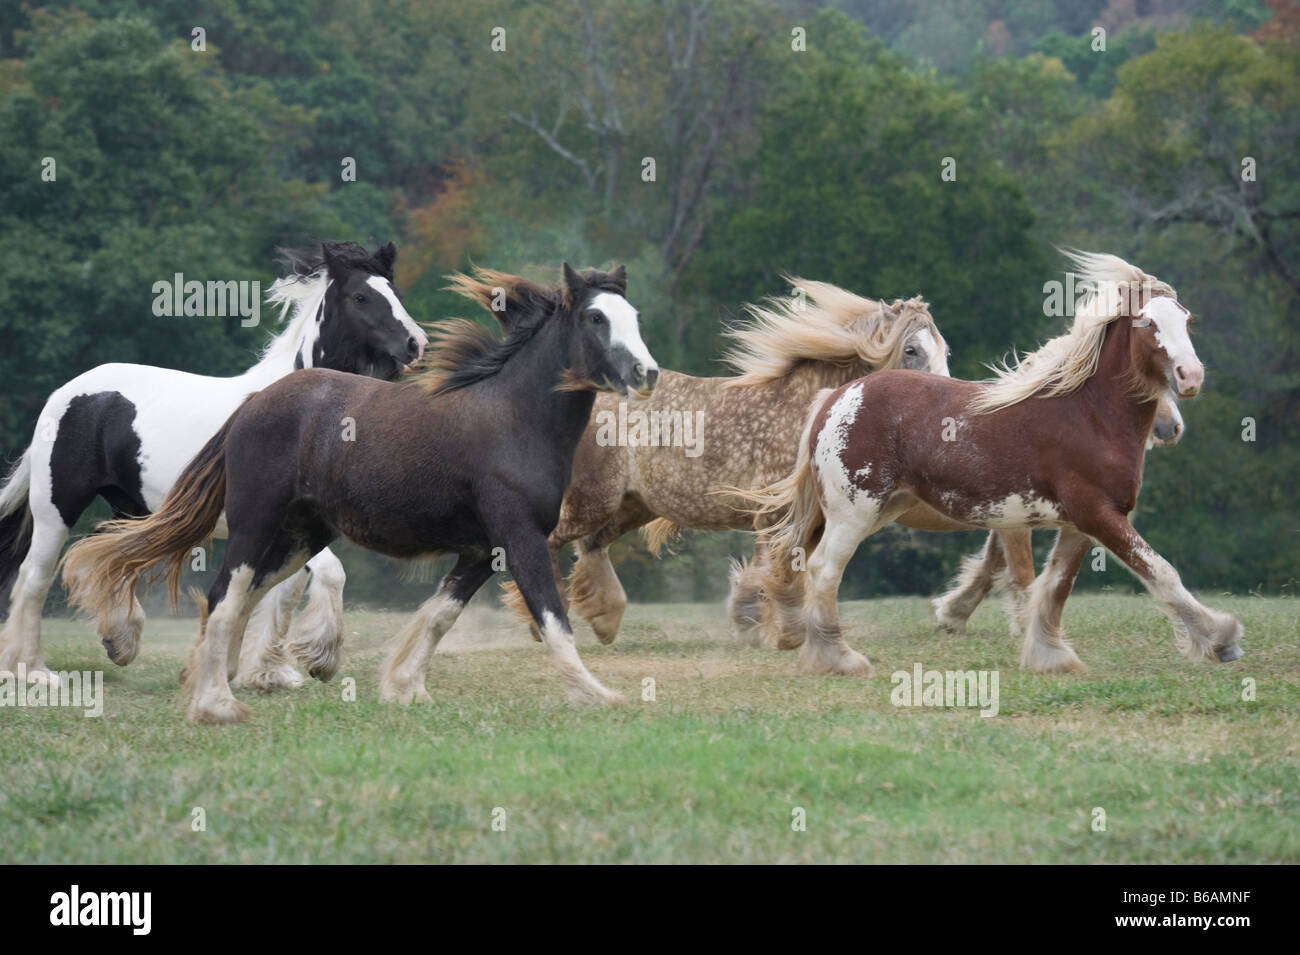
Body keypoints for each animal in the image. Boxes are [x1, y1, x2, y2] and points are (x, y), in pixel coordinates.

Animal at [0, 241, 425, 690]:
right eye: (361, 297)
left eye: (395, 292)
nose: (417, 344)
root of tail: (66, 392)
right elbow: (327, 574)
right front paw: (320, 657)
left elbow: (286, 590)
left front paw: (269, 671)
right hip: (57, 506)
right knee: (34, 577)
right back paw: (33, 670)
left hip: (132, 508)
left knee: (109, 555)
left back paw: (119, 641)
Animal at [60, 263, 657, 724]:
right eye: (596, 318)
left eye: (635, 317)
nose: (645, 372)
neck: (512, 419)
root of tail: (251, 405)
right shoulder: (521, 538)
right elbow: (553, 617)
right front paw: (598, 695)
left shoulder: (481, 550)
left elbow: (439, 616)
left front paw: (405, 687)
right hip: (256, 524)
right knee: (225, 598)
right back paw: (217, 706)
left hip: (300, 535)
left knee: (243, 597)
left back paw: (223, 680)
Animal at [498, 279, 950, 645]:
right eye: (911, 349)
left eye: (943, 348)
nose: (941, 406)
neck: (805, 411)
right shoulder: (777, 514)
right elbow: (780, 570)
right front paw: (779, 633)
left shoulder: (807, 520)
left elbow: (782, 571)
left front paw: (754, 622)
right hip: (595, 501)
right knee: (554, 542)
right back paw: (542, 624)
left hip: (632, 506)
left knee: (592, 547)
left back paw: (604, 620)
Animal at [733, 251, 1242, 676]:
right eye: (1147, 323)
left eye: (1187, 320)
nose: (1190, 376)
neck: (1088, 413)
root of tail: (835, 397)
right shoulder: (1098, 514)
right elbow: (1161, 573)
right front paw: (1221, 640)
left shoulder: (1081, 522)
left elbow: (1053, 587)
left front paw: (1049, 657)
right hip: (853, 512)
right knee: (823, 571)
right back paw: (838, 658)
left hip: (876, 509)